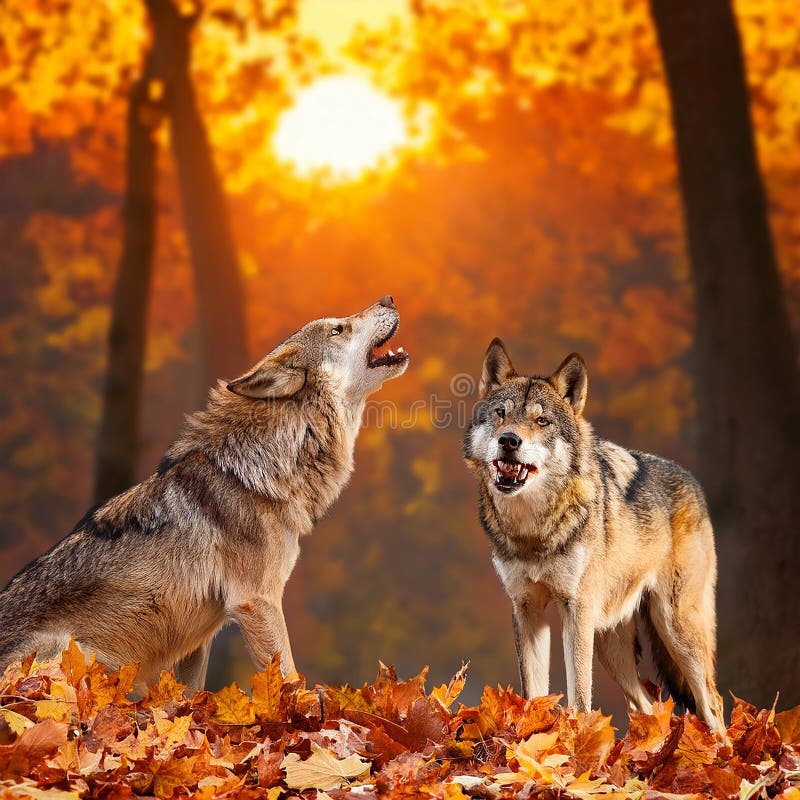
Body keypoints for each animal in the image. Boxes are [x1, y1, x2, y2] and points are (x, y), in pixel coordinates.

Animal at [0, 296, 409, 693]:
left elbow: (189, 697)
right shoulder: (256, 601)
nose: (388, 297)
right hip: (72, 653)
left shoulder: (198, 640)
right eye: (338, 329)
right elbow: (291, 679)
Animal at [463, 339, 725, 734]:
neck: (534, 531)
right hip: (610, 642)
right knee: (647, 706)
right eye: (500, 414)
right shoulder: (527, 609)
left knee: (713, 703)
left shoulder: (576, 611)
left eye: (542, 421)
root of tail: (694, 482)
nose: (509, 440)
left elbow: (580, 698)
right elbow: (533, 694)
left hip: (674, 628)